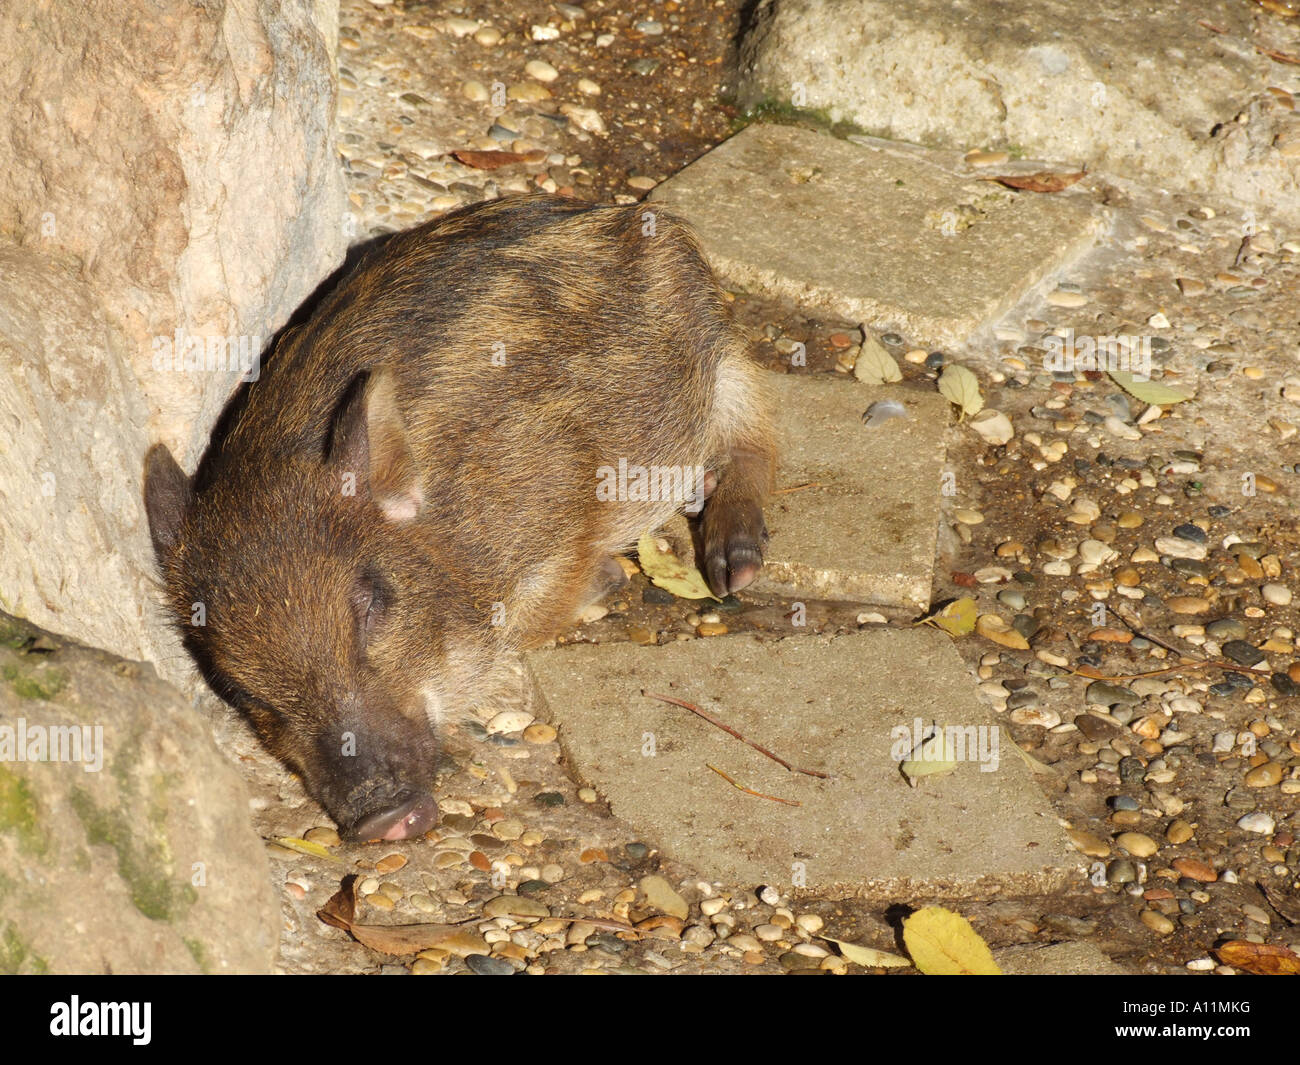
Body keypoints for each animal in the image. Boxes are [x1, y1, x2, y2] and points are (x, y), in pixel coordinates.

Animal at [143, 194, 775, 843]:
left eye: (371, 603)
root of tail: (633, 215)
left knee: (754, 435)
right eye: (240, 688)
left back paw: (733, 571)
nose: (383, 815)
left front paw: (609, 579)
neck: (448, 535)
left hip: (721, 356)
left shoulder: (568, 491)